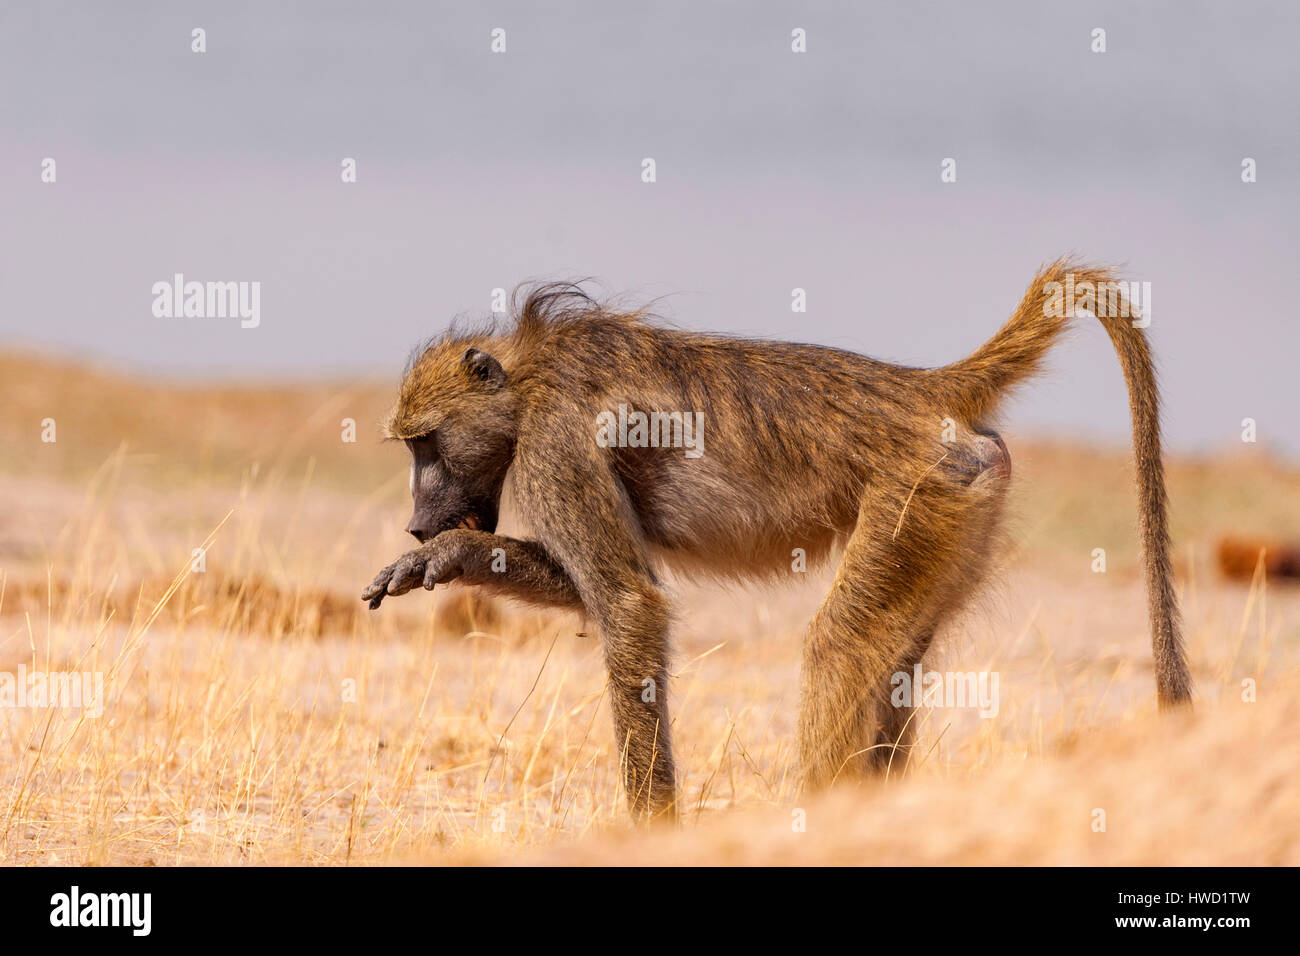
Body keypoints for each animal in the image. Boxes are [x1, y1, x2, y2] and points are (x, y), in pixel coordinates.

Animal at [362, 258, 1192, 821]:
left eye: (425, 445)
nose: (419, 520)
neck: (532, 372)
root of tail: (922, 386)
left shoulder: (551, 445)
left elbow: (628, 603)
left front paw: (652, 832)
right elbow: (595, 588)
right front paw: (444, 556)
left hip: (920, 494)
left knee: (840, 647)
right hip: (961, 504)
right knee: (892, 665)